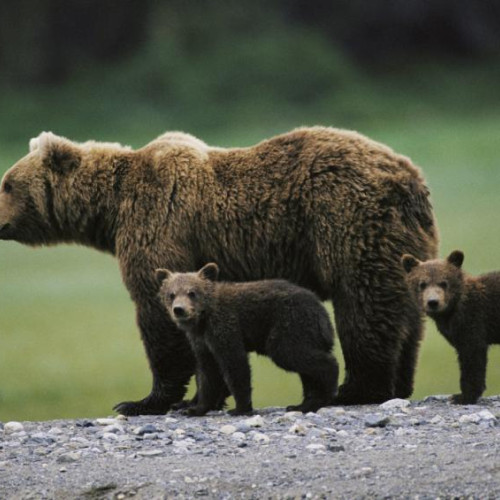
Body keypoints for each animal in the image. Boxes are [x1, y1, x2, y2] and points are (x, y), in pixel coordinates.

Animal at [0, 128, 438, 414]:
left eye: (6, 183)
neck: (110, 211)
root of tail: (411, 177)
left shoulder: (160, 224)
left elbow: (158, 317)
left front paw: (143, 401)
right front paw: (199, 398)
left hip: (347, 218)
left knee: (363, 304)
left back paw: (356, 389)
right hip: (405, 245)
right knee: (405, 315)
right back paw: (398, 385)